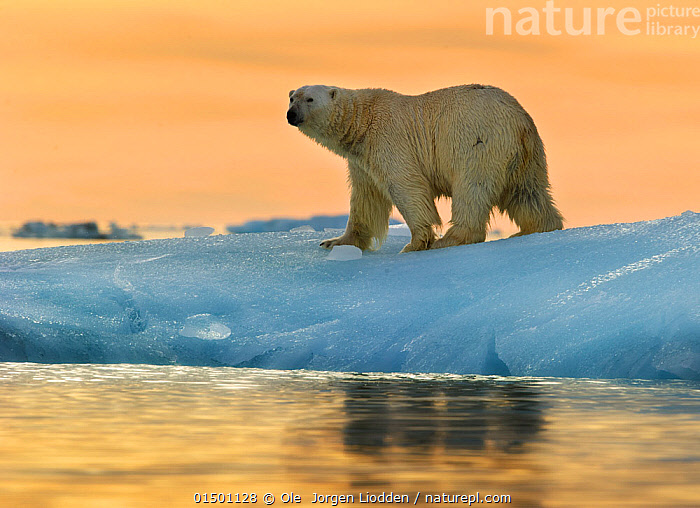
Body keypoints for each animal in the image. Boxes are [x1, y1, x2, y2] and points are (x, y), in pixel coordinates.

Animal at [287, 84, 564, 252]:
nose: (291, 114)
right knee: (528, 194)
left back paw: (451, 239)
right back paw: (535, 228)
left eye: (309, 98)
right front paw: (334, 242)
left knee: (471, 190)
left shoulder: (389, 141)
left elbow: (407, 186)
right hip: (527, 156)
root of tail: (520, 121)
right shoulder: (361, 161)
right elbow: (366, 201)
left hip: (477, 144)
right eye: (291, 97)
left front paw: (416, 243)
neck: (363, 122)